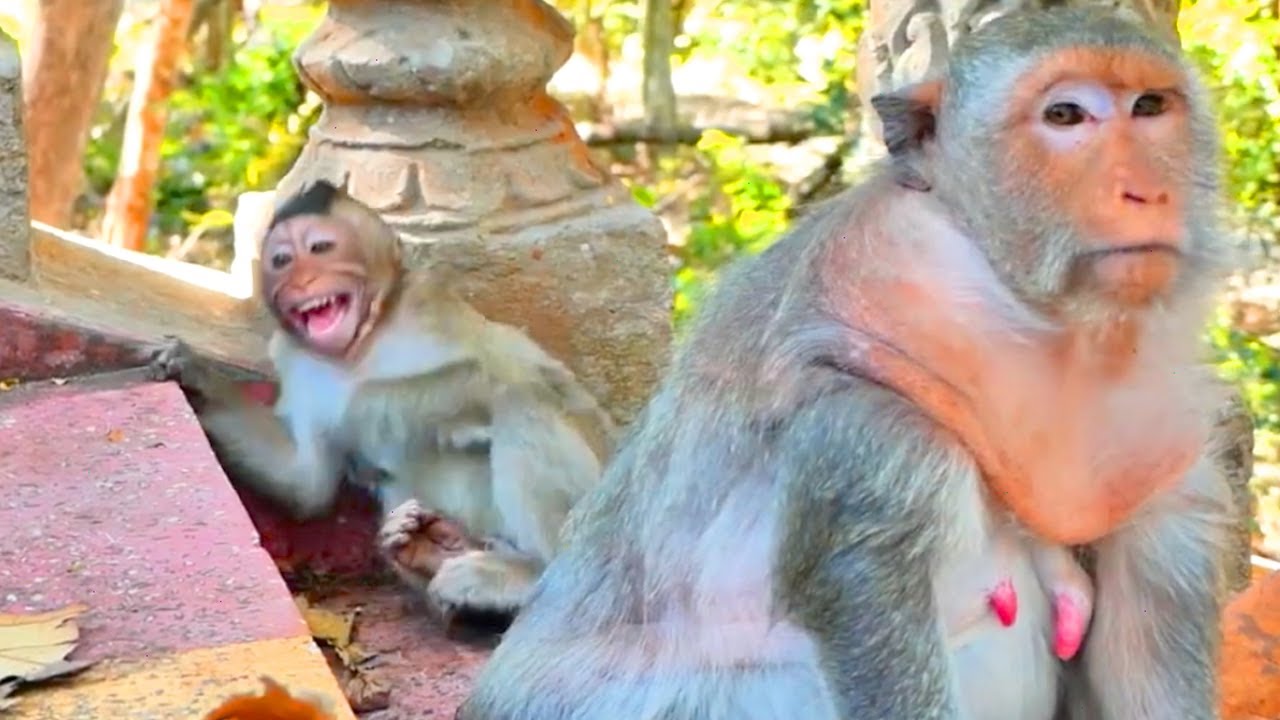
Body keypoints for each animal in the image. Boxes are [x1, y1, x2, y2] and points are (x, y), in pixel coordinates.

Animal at [149, 180, 616, 622]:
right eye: (281, 260)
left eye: (320, 248)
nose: (300, 279)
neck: (359, 347)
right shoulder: (293, 360)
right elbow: (306, 482)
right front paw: (196, 375)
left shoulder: (429, 306)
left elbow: (512, 372)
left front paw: (361, 410)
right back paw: (435, 548)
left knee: (521, 400)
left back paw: (531, 573)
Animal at [455, 7, 1235, 719]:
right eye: (1066, 115)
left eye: (1150, 107)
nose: (1147, 191)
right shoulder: (864, 439)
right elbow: (870, 611)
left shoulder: (1164, 449)